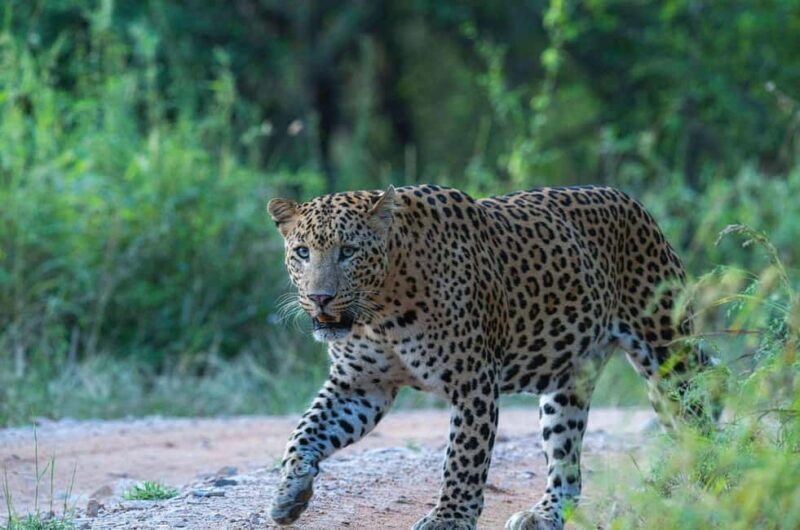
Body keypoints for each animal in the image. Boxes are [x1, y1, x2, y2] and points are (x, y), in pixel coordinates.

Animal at [266, 184, 716, 530]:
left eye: (349, 251)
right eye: (302, 252)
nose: (320, 297)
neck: (381, 312)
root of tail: (632, 202)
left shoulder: (473, 381)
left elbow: (464, 457)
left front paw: (448, 518)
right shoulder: (360, 385)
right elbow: (305, 431)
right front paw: (290, 492)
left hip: (668, 353)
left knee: (700, 419)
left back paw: (713, 484)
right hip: (567, 385)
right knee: (567, 464)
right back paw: (543, 515)